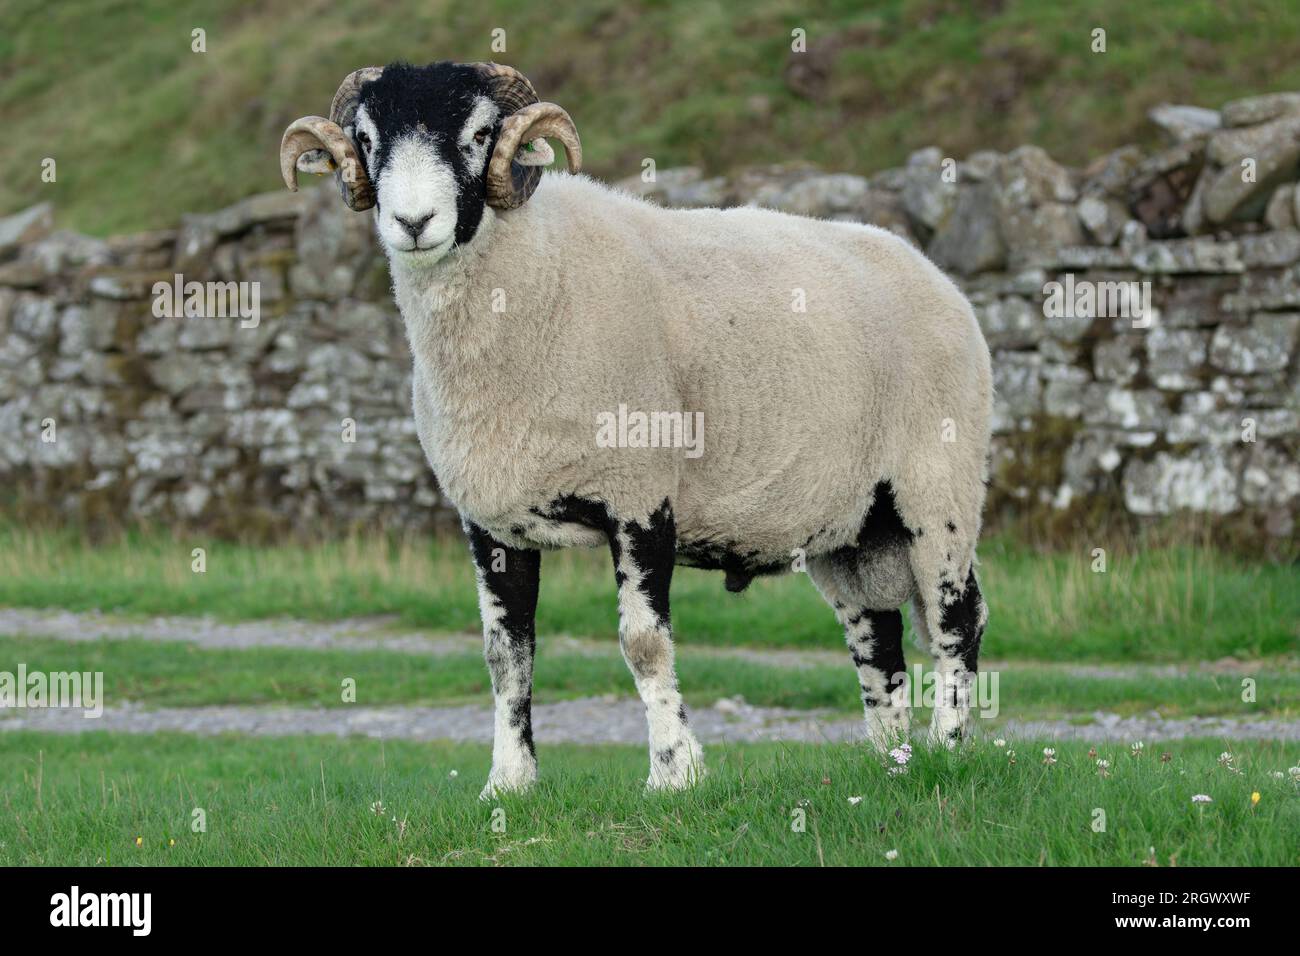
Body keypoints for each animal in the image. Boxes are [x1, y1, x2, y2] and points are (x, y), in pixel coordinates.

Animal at [281, 61, 993, 797]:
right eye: (367, 139)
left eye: (478, 134)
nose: (413, 221)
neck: (538, 279)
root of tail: (936, 275)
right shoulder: (490, 522)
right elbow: (506, 655)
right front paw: (509, 784)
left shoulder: (641, 497)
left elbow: (644, 643)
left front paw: (675, 773)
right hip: (851, 527)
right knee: (877, 639)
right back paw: (890, 762)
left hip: (938, 484)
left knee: (955, 619)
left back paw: (949, 747)